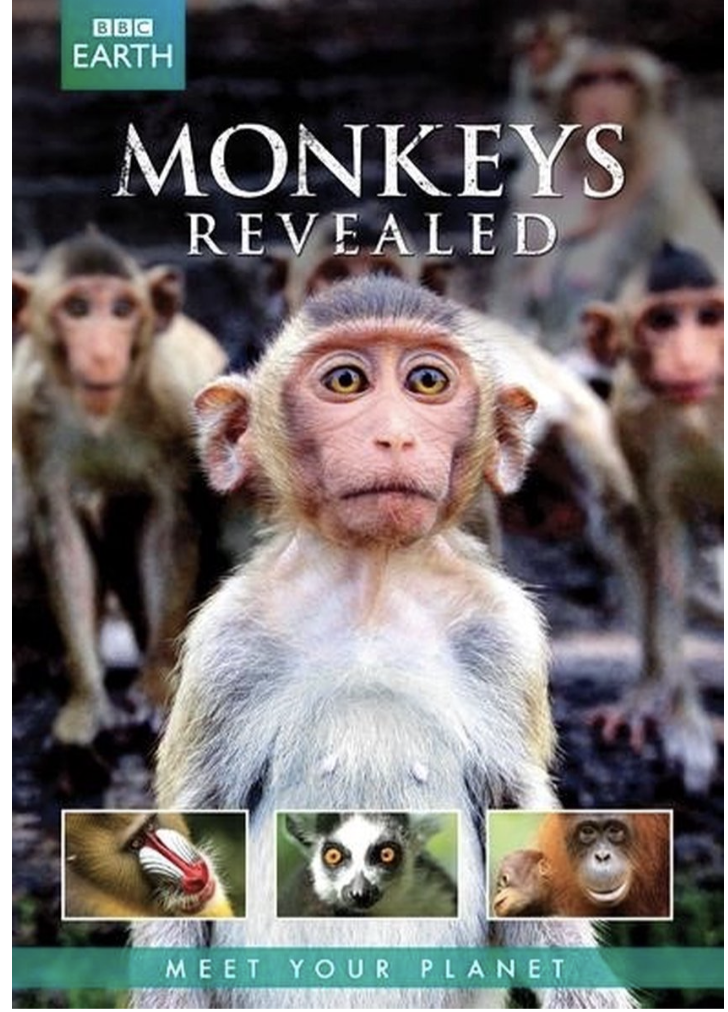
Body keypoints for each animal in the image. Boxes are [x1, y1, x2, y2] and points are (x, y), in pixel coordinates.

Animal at [12, 231, 228, 746]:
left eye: (122, 309)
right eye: (77, 308)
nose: (102, 352)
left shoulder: (174, 402)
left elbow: (170, 523)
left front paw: (154, 689)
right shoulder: (28, 413)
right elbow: (61, 533)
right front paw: (86, 701)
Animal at [582, 242, 724, 793]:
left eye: (709, 317)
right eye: (662, 321)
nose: (687, 356)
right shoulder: (634, 420)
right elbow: (667, 548)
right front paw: (687, 727)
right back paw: (646, 695)